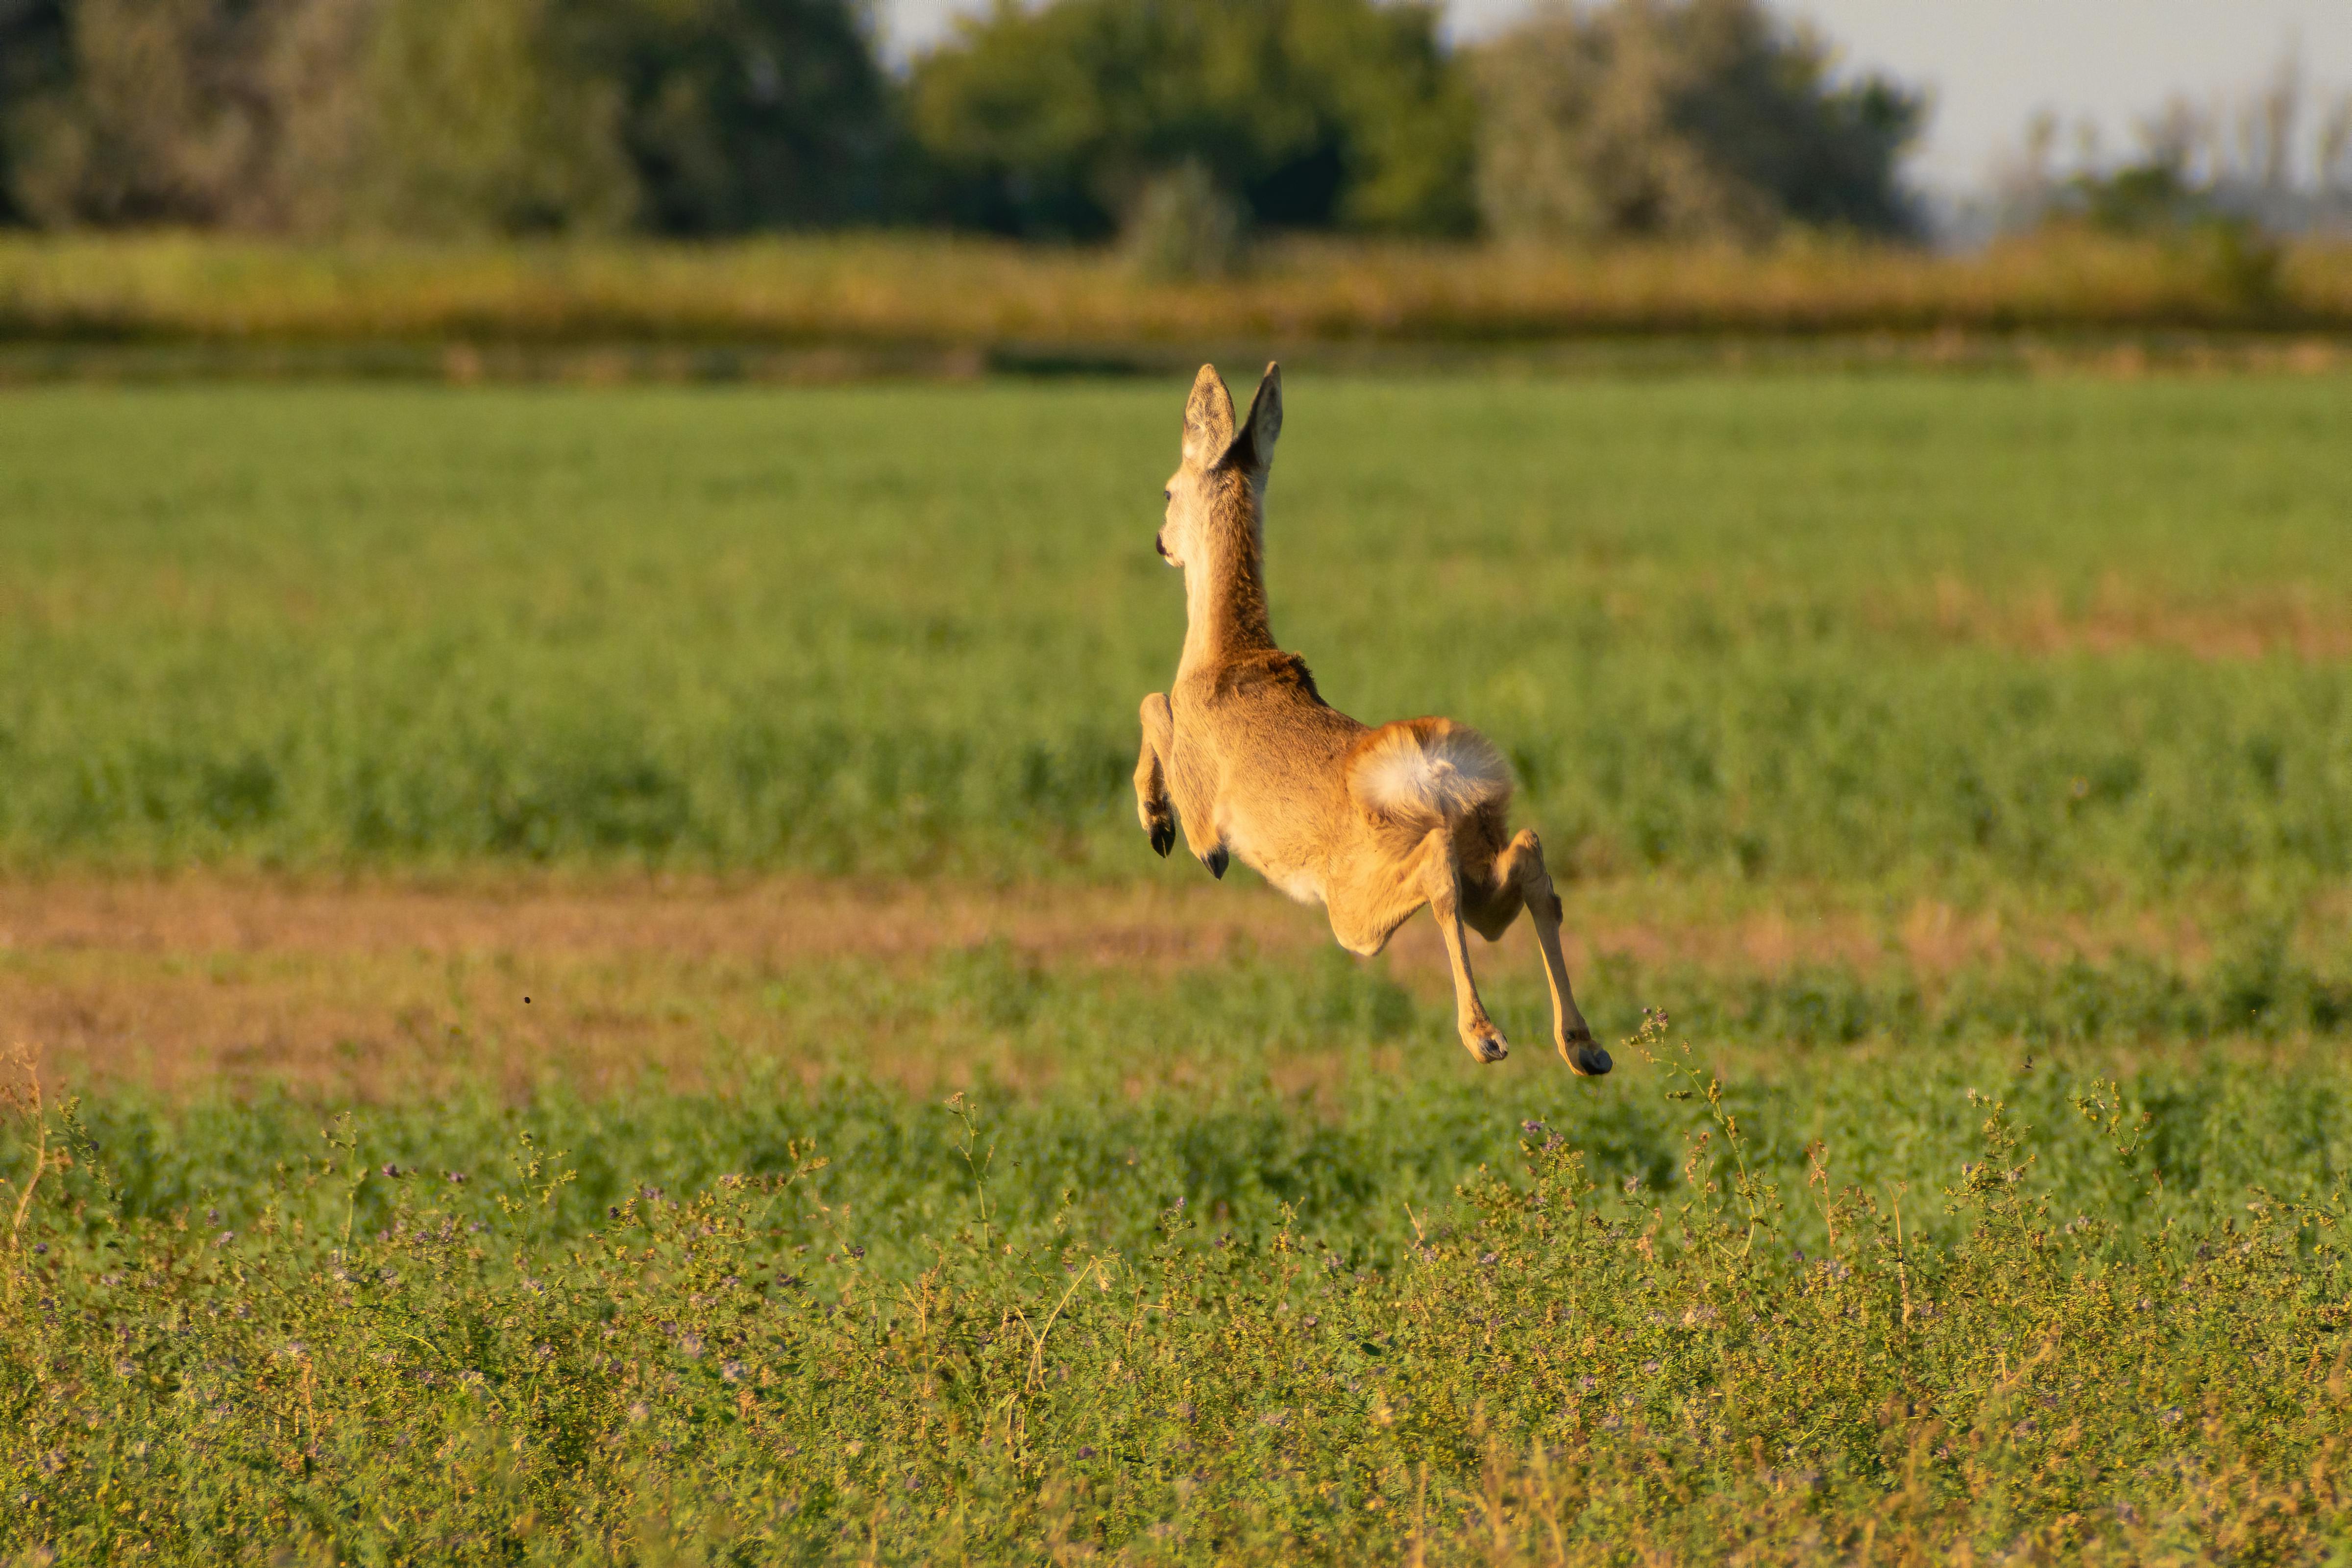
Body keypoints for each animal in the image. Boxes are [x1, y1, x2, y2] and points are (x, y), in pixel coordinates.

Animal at [1133, 362, 1611, 1076]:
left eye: (1168, 488)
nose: (1161, 542)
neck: (1223, 653)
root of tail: (1437, 773)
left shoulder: (1203, 806)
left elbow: (1153, 705)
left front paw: (1157, 823)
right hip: (1482, 884)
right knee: (1528, 864)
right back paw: (1584, 1047)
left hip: (1351, 910)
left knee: (1437, 872)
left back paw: (1486, 1036)